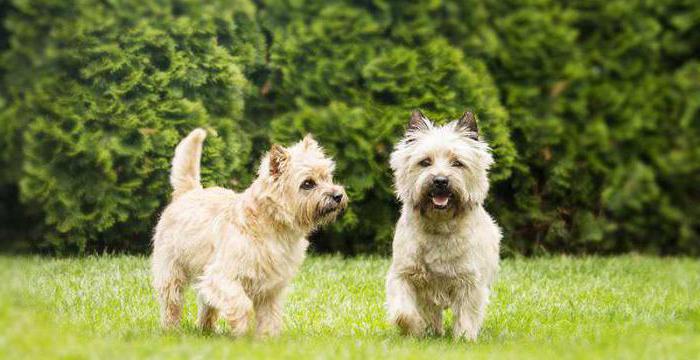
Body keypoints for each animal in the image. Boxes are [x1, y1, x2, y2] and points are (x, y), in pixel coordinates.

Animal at [151, 129, 348, 338]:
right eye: (308, 183)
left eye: (327, 177)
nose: (338, 195)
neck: (272, 226)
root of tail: (188, 192)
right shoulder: (221, 277)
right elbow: (242, 304)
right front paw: (242, 332)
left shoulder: (271, 288)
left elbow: (270, 315)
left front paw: (267, 339)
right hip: (172, 271)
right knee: (172, 303)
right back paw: (171, 330)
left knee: (207, 304)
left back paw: (207, 330)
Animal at [386, 109, 500, 340]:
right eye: (425, 162)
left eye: (457, 163)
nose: (440, 181)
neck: (440, 224)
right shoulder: (404, 274)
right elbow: (403, 311)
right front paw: (414, 328)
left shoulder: (470, 281)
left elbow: (467, 312)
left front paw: (464, 338)